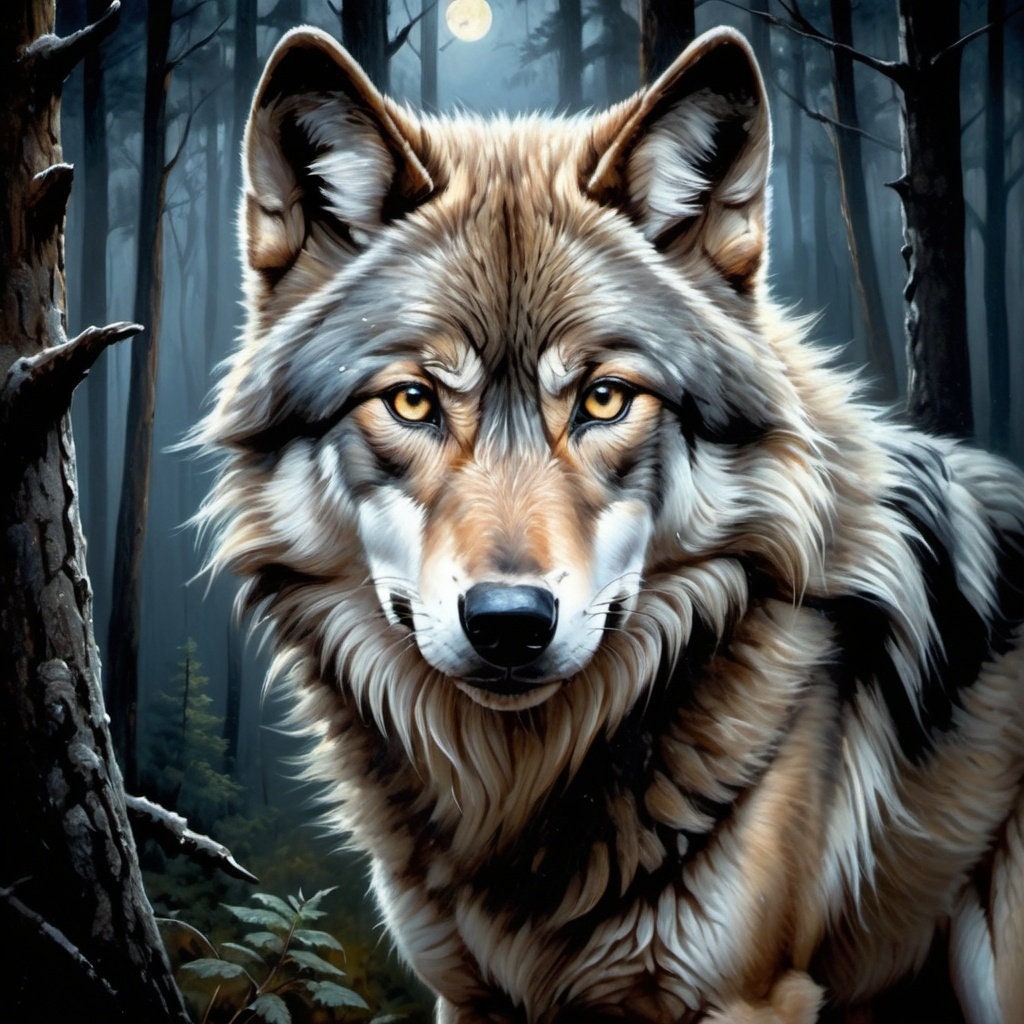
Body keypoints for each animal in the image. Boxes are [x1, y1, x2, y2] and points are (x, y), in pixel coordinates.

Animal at [198, 23, 1024, 1024]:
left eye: (602, 398)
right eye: (412, 401)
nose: (509, 624)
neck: (523, 788)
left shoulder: (749, 996)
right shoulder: (467, 996)